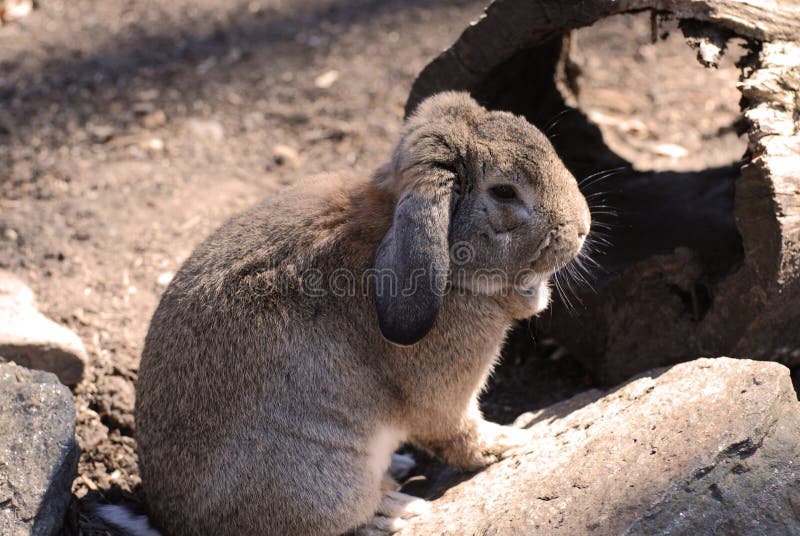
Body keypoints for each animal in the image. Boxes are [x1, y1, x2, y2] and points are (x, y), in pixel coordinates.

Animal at [126, 91, 591, 536]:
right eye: (504, 192)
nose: (583, 227)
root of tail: (170, 521)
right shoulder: (444, 398)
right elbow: (458, 434)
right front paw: (514, 440)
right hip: (324, 473)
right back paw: (393, 510)